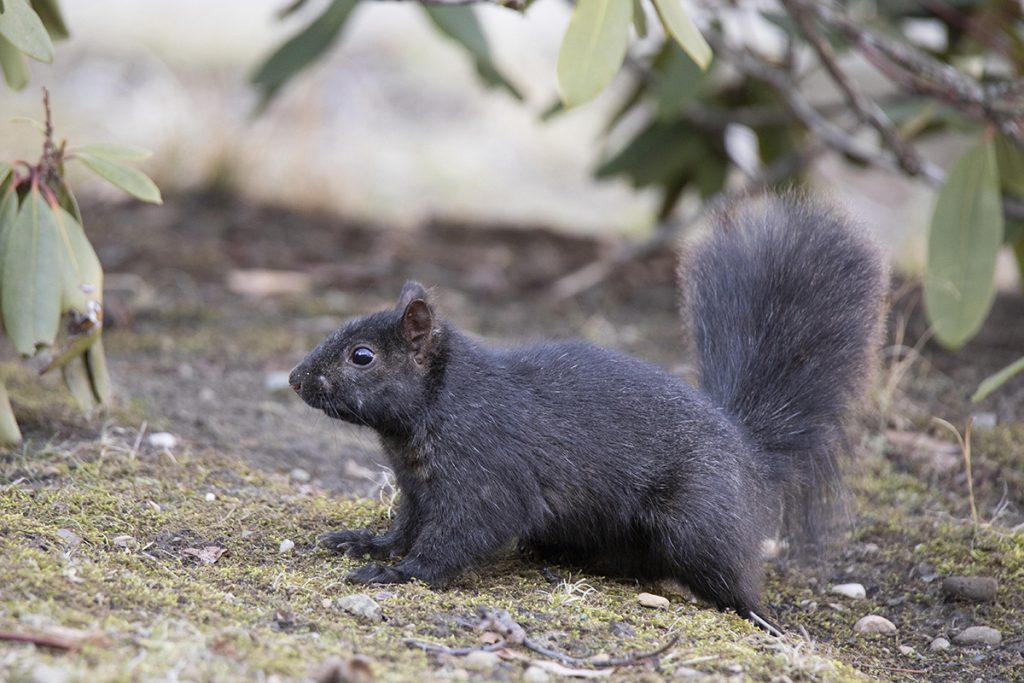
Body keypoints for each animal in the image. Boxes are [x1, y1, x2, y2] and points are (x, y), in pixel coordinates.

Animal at [289, 194, 887, 629]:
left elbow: (459, 537)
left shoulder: (486, 471)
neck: (440, 402)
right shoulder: (417, 485)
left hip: (697, 521)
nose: (296, 379)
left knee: (730, 575)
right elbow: (407, 526)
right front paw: (367, 544)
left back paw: (763, 619)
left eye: (362, 356)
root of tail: (749, 451)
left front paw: (395, 573)